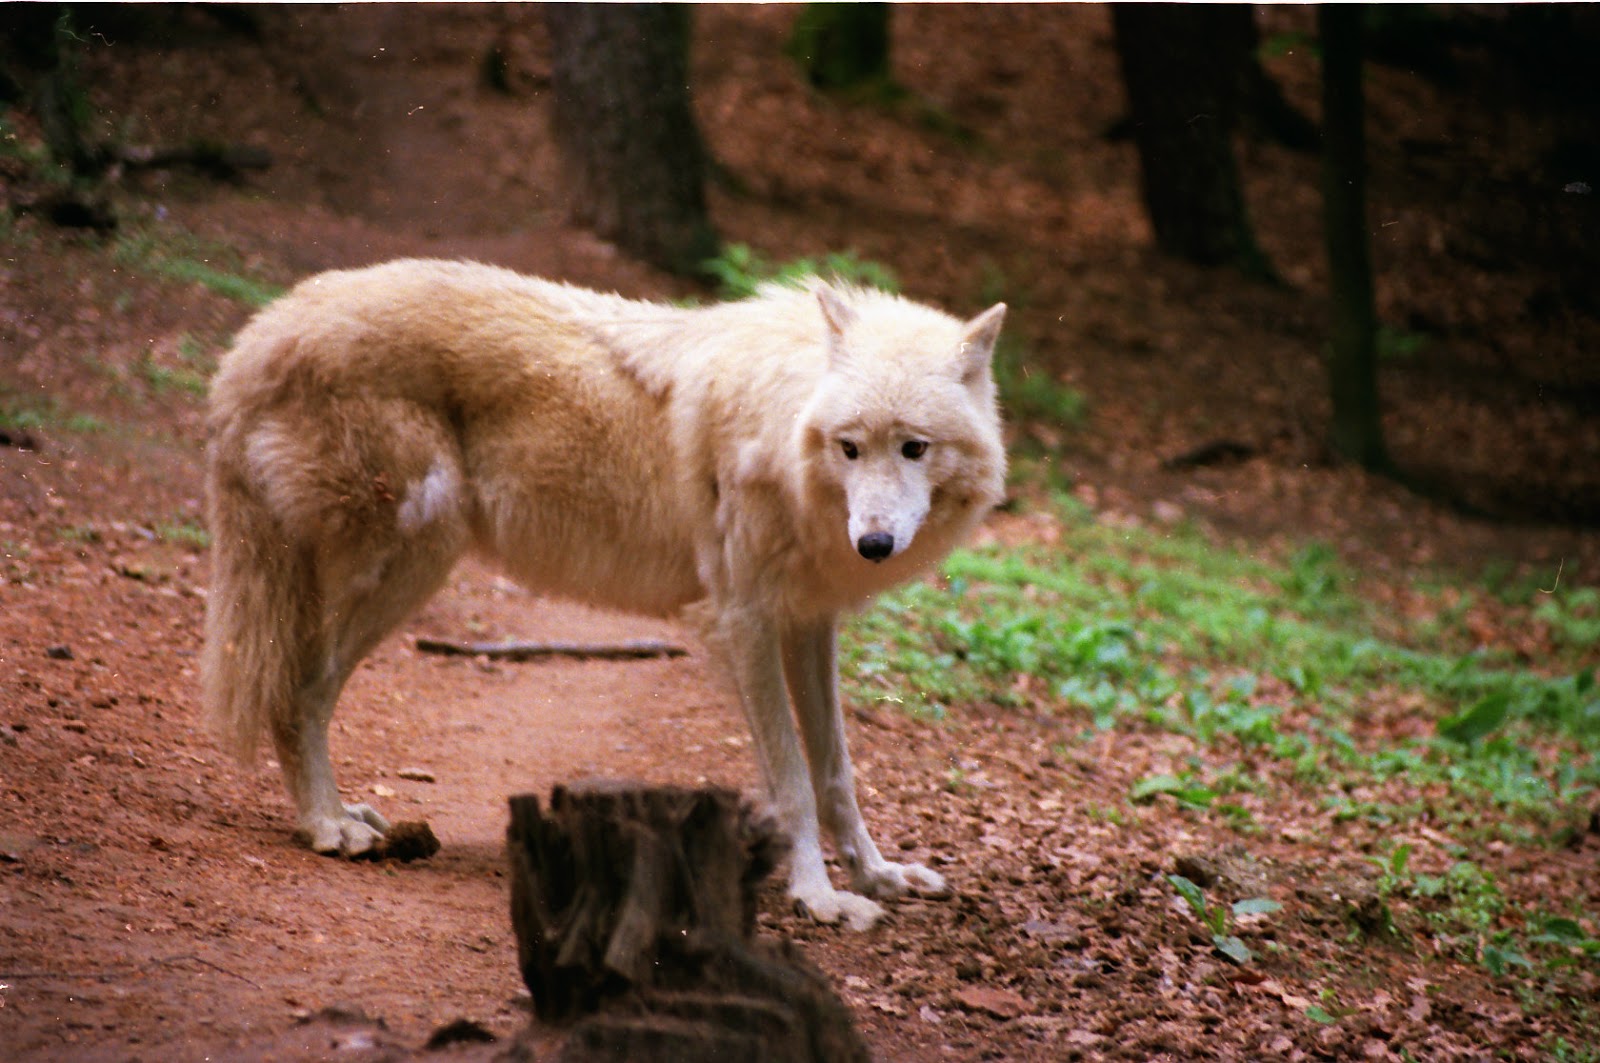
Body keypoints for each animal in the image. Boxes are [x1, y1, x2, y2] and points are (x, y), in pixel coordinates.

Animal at [202, 258, 1006, 929]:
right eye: (850, 447)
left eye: (914, 448)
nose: (873, 544)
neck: (781, 421)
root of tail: (256, 338)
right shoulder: (741, 620)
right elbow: (792, 782)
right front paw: (819, 896)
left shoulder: (808, 622)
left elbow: (836, 771)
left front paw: (876, 874)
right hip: (411, 563)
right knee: (298, 690)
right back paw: (328, 825)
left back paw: (341, 814)